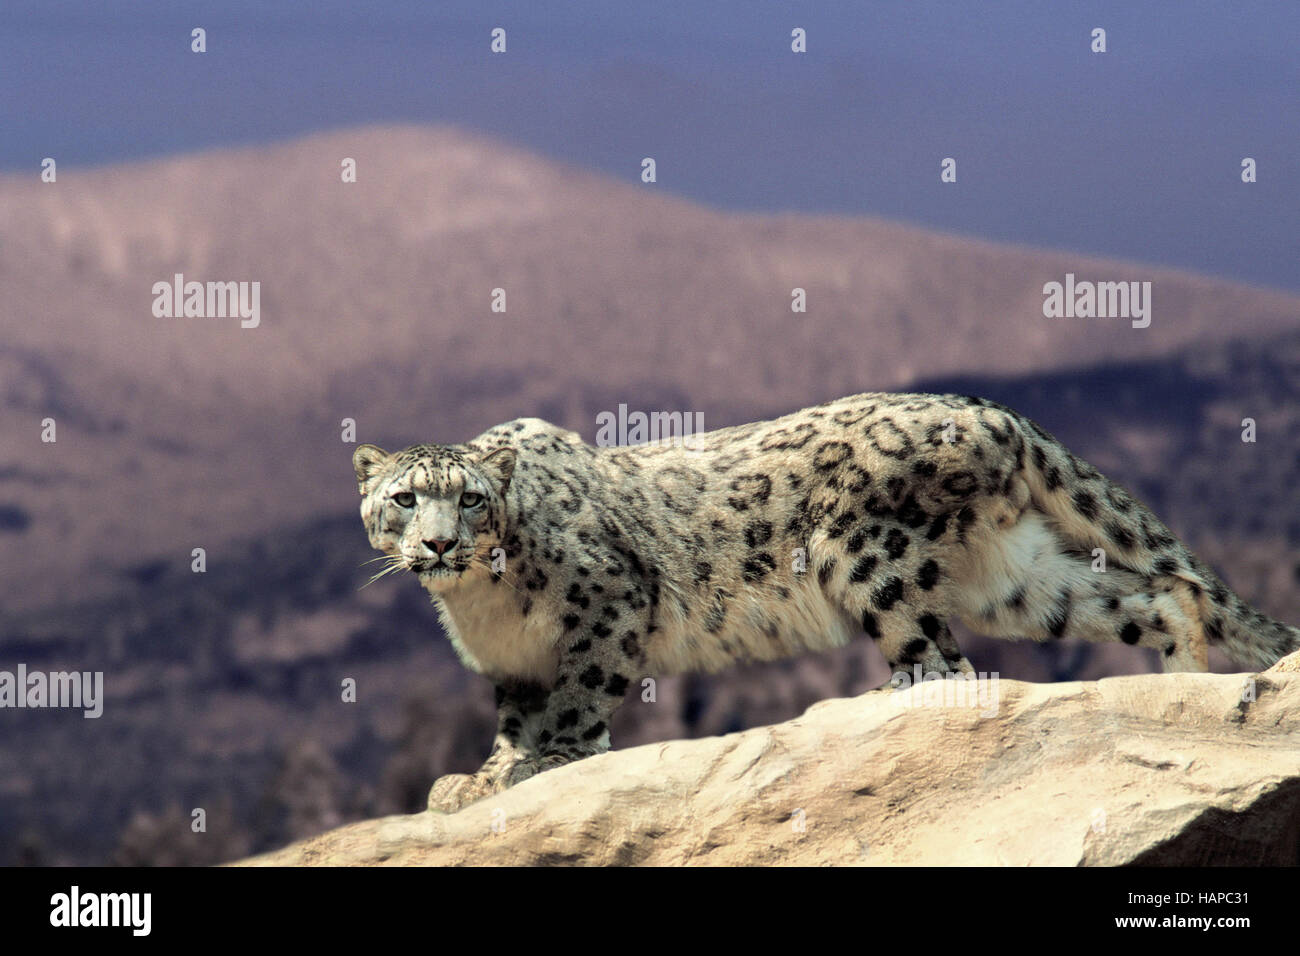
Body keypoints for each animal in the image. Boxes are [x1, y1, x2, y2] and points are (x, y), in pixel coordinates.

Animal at [351, 392, 1299, 813]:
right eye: (405, 499)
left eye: (472, 500)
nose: (439, 545)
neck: (482, 605)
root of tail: (992, 411)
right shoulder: (510, 666)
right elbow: (513, 722)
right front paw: (481, 779)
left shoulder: (607, 603)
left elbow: (580, 701)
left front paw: (548, 766)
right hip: (1019, 579)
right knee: (1159, 595)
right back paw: (1186, 687)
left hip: (867, 554)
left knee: (943, 660)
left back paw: (875, 701)